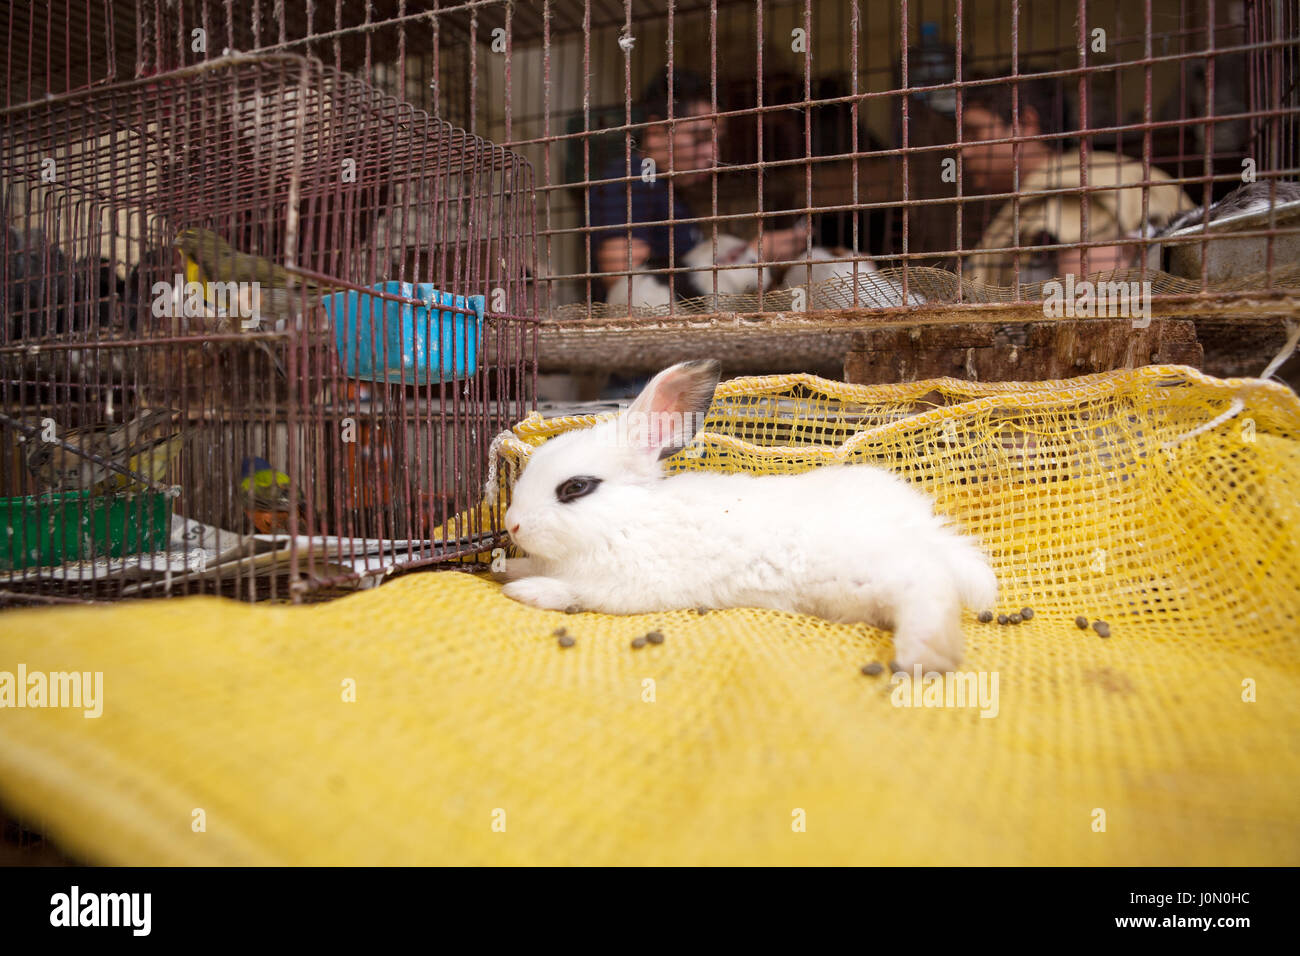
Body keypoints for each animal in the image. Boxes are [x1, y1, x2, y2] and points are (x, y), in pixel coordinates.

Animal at [497, 359, 997, 672]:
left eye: (576, 488)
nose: (512, 525)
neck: (629, 519)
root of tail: (925, 526)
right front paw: (507, 568)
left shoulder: (623, 586)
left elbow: (574, 593)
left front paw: (528, 591)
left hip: (876, 570)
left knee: (928, 587)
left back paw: (924, 657)